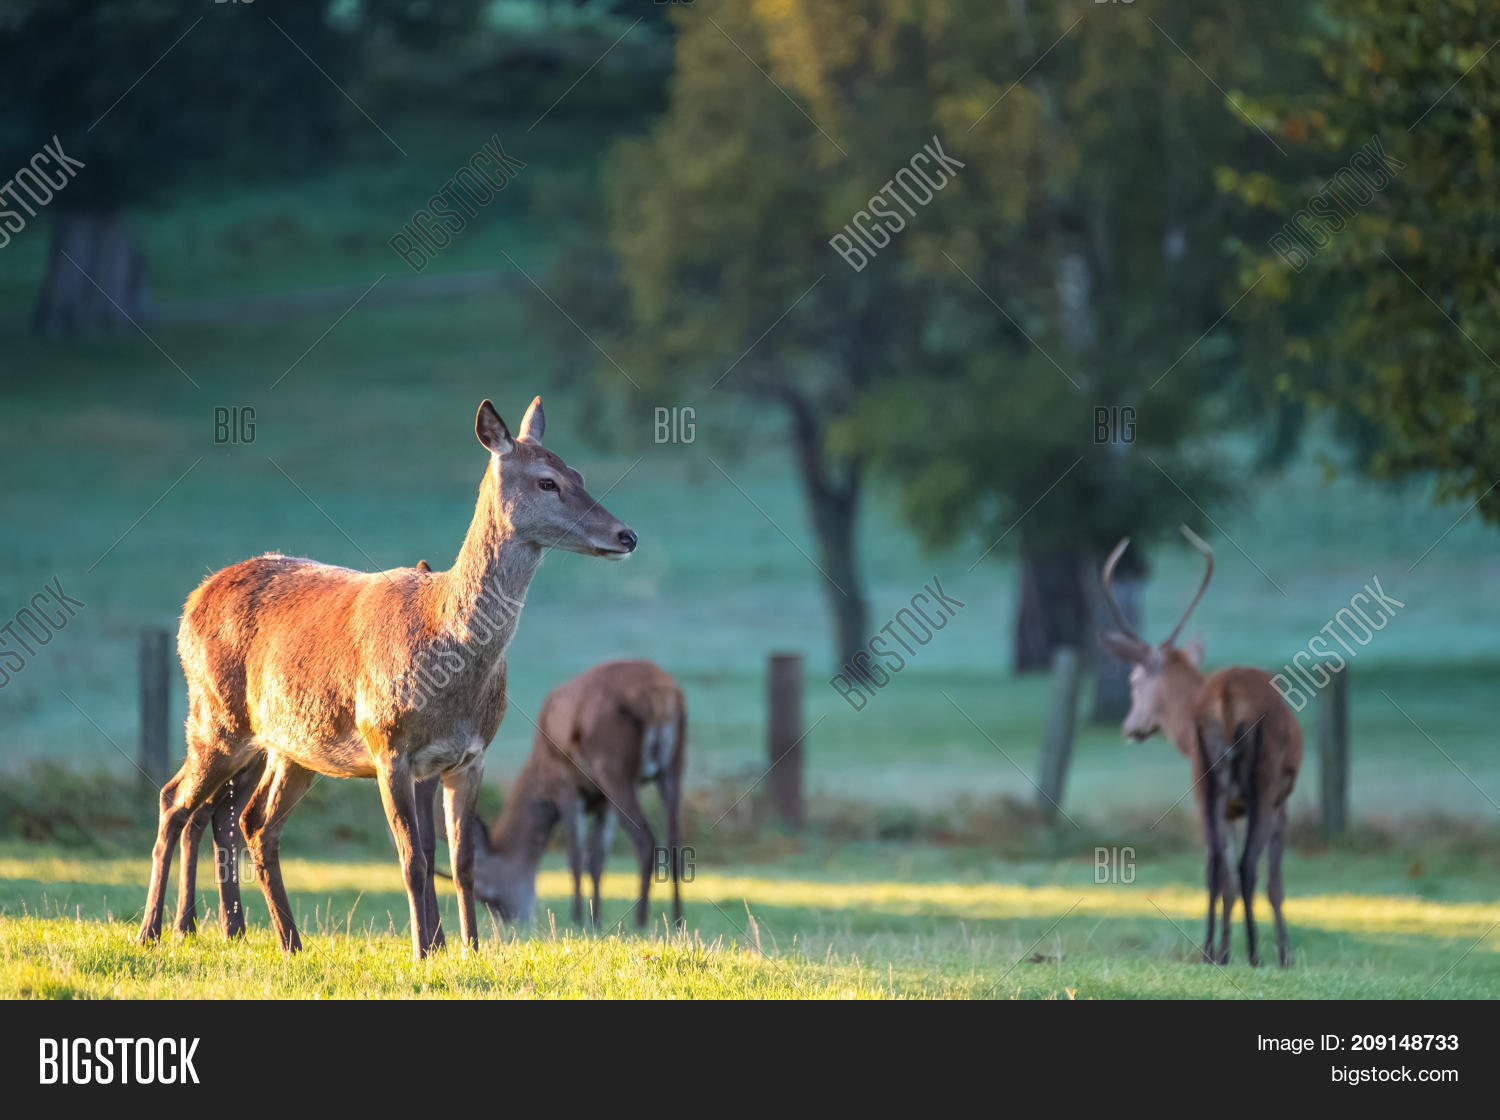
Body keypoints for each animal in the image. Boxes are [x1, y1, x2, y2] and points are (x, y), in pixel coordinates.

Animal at [137, 396, 637, 960]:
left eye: (579, 474)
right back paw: (155, 930)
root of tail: (193, 600)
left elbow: (460, 862)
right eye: (547, 481)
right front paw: (423, 951)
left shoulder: (467, 757)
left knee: (251, 822)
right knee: (175, 801)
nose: (627, 535)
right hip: (215, 716)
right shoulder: (388, 745)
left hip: (290, 747)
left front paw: (468, 948)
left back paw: (281, 939)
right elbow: (412, 858)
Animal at [465, 659, 687, 930]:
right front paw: (596, 918)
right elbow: (597, 859)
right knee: (675, 842)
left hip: (614, 767)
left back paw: (641, 920)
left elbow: (576, 855)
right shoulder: (602, 801)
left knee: (646, 839)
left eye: (484, 893)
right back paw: (676, 919)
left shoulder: (566, 785)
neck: (541, 771)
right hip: (674, 763)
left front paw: (578, 917)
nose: (512, 922)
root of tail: (663, 695)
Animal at [1097, 525, 1302, 968]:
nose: (1129, 726)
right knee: (1245, 865)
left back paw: (1212, 952)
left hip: (1205, 780)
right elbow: (1275, 882)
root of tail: (1225, 697)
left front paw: (1225, 949)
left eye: (1133, 682)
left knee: (1215, 865)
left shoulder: (1226, 802)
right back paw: (1255, 954)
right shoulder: (1282, 800)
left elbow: (1225, 874)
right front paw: (1283, 954)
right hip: (1262, 777)